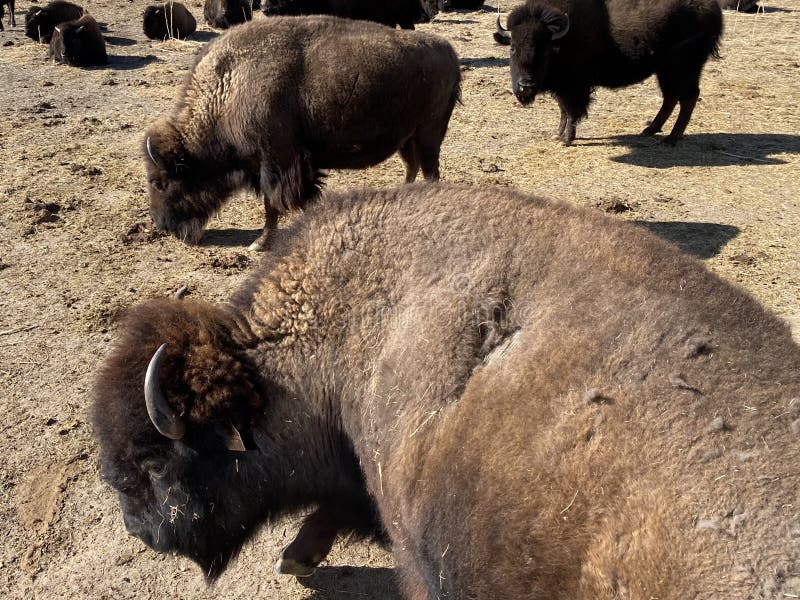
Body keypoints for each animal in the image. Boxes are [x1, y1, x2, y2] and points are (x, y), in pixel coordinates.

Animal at [143, 16, 460, 250]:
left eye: (160, 182)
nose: (161, 225)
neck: (229, 84)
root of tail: (447, 50)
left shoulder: (275, 163)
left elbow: (273, 204)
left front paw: (259, 243)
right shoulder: (293, 165)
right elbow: (299, 198)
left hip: (429, 135)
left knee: (430, 171)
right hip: (408, 139)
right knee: (413, 167)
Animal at [495, 0, 723, 145]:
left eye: (544, 49)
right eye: (512, 47)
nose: (525, 85)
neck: (561, 39)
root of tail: (713, 10)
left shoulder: (574, 88)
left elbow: (571, 111)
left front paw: (567, 139)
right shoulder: (563, 88)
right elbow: (563, 110)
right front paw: (558, 135)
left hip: (682, 69)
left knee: (687, 97)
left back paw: (670, 139)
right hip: (666, 72)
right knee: (671, 98)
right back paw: (649, 131)